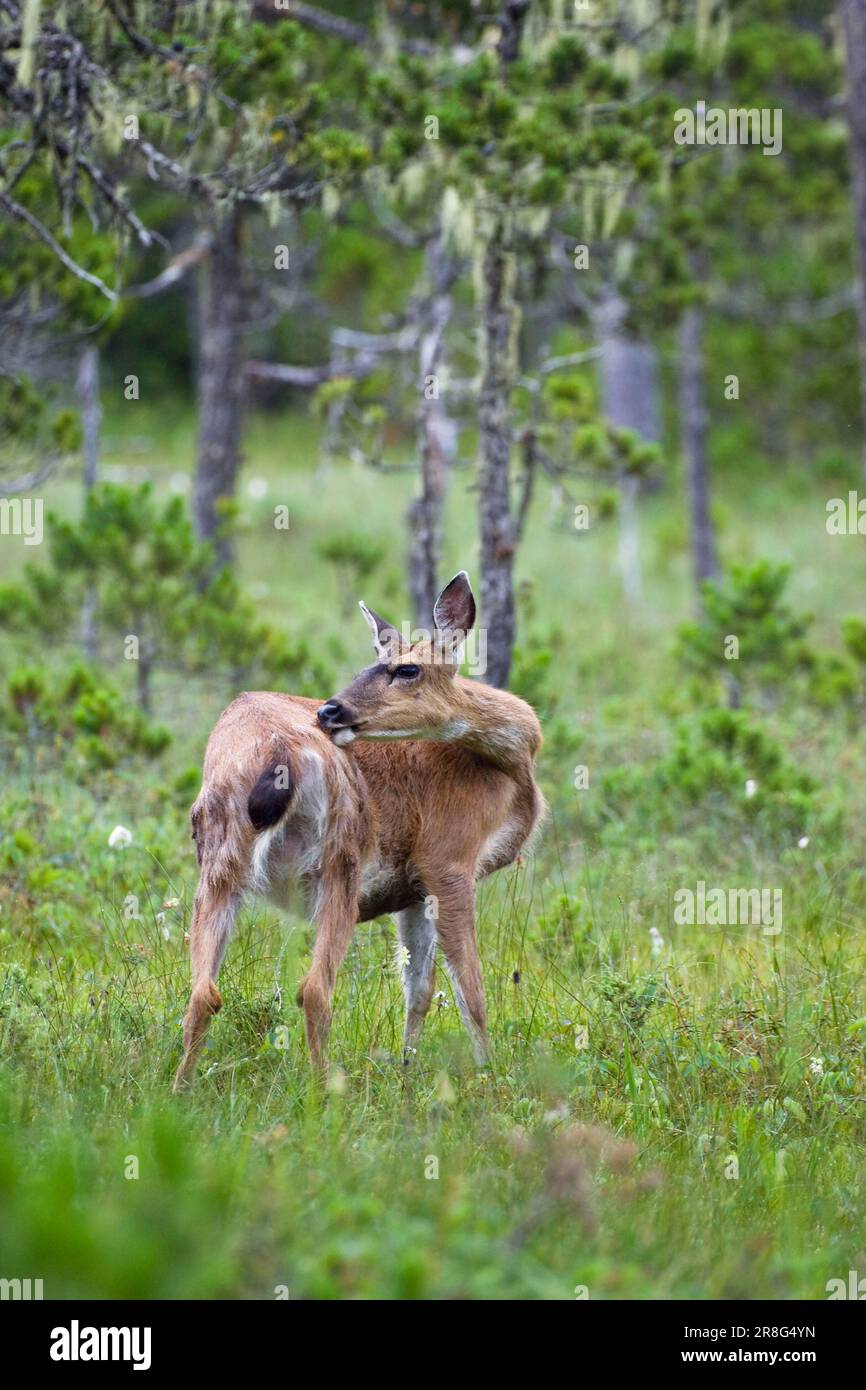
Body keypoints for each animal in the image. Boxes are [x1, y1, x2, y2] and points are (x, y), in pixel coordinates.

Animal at [173, 571, 544, 1091]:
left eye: (407, 669)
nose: (330, 711)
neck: (512, 764)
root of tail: (278, 749)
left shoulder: (413, 888)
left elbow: (419, 988)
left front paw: (408, 1070)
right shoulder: (448, 859)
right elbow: (470, 991)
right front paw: (489, 1080)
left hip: (218, 856)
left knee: (202, 992)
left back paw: (178, 1091)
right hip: (339, 860)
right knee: (313, 990)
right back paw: (323, 1092)